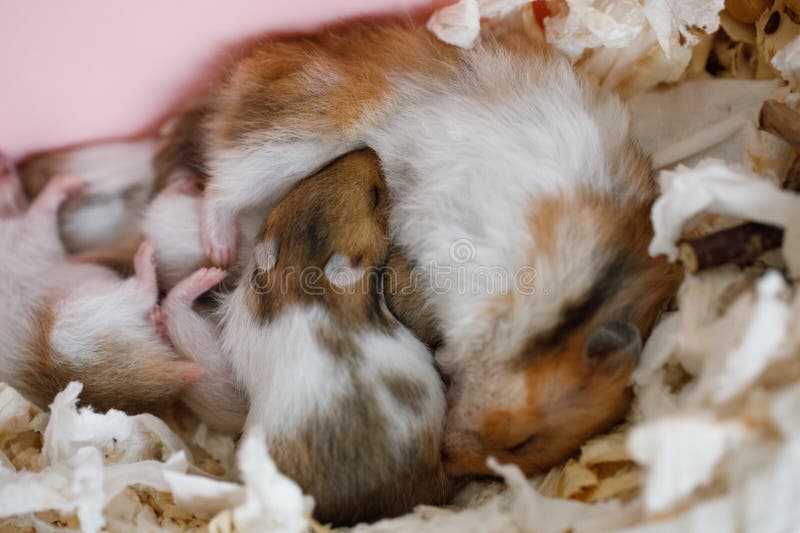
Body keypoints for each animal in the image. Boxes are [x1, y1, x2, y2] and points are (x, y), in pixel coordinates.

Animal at [0, 153, 200, 413]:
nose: (6, 160)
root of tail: (165, 374)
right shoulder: (27, 233)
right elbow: (41, 207)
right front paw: (68, 181)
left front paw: (70, 181)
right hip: (85, 315)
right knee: (148, 292)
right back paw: (151, 256)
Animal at [160, 22, 681, 476]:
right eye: (522, 441)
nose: (451, 463)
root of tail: (248, 68)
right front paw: (447, 360)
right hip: (290, 138)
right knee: (220, 185)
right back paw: (218, 250)